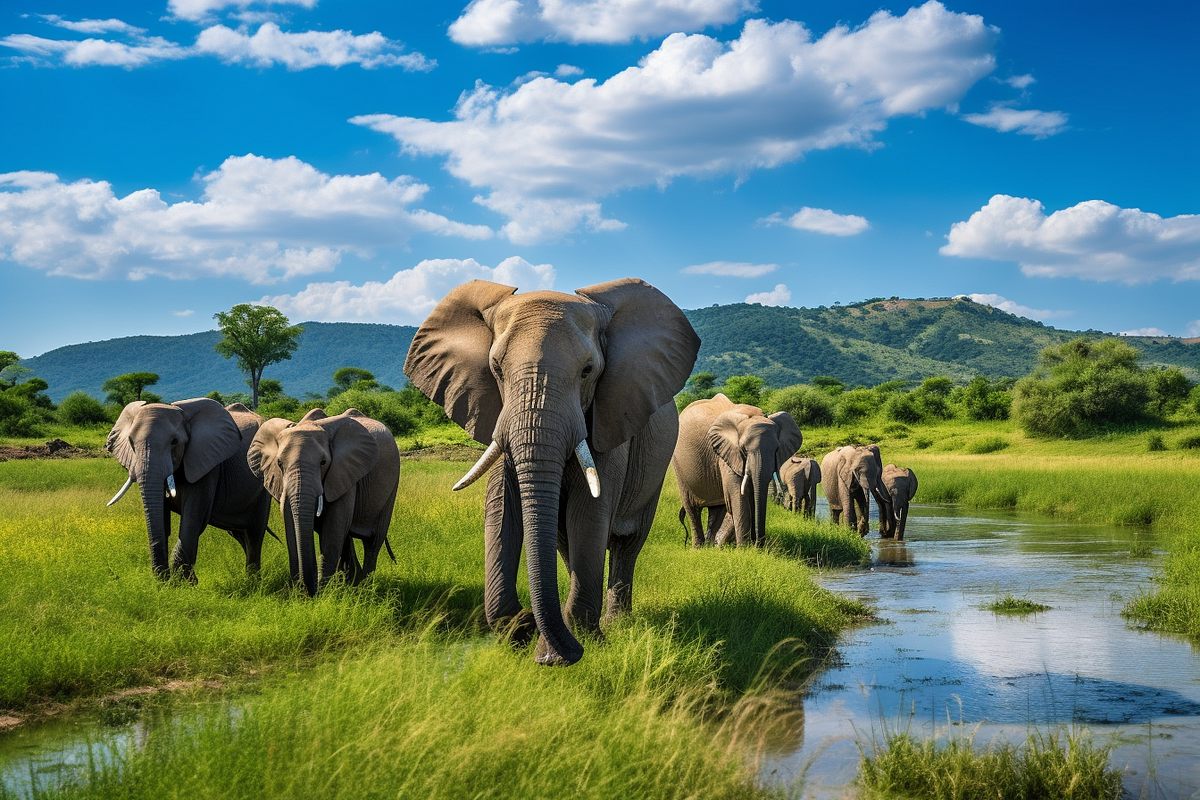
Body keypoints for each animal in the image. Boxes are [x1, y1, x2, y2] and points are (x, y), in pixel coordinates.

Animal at [105, 398, 271, 579]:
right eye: (131, 443)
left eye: (174, 442)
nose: (163, 578)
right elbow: (162, 519)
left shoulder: (206, 465)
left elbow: (192, 520)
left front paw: (182, 583)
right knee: (240, 534)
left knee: (255, 533)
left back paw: (253, 582)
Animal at [248, 407, 400, 596]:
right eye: (279, 463)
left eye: (323, 462)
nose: (308, 590)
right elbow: (291, 526)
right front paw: (302, 594)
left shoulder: (344, 473)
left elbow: (333, 528)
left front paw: (324, 593)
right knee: (347, 539)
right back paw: (350, 585)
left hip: (391, 488)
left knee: (372, 542)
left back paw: (366, 589)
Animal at [404, 278, 700, 666]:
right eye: (496, 369)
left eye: (588, 371)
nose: (530, 625)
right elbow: (501, 506)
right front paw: (520, 631)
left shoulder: (609, 416)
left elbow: (589, 511)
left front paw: (570, 649)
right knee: (566, 543)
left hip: (658, 466)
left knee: (627, 542)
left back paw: (616, 624)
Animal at [673, 394, 803, 548]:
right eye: (744, 450)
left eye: (776, 449)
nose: (759, 543)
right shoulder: (725, 453)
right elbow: (739, 495)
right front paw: (745, 549)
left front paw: (752, 548)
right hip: (678, 465)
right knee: (692, 509)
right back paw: (698, 548)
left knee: (717, 510)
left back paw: (710, 546)